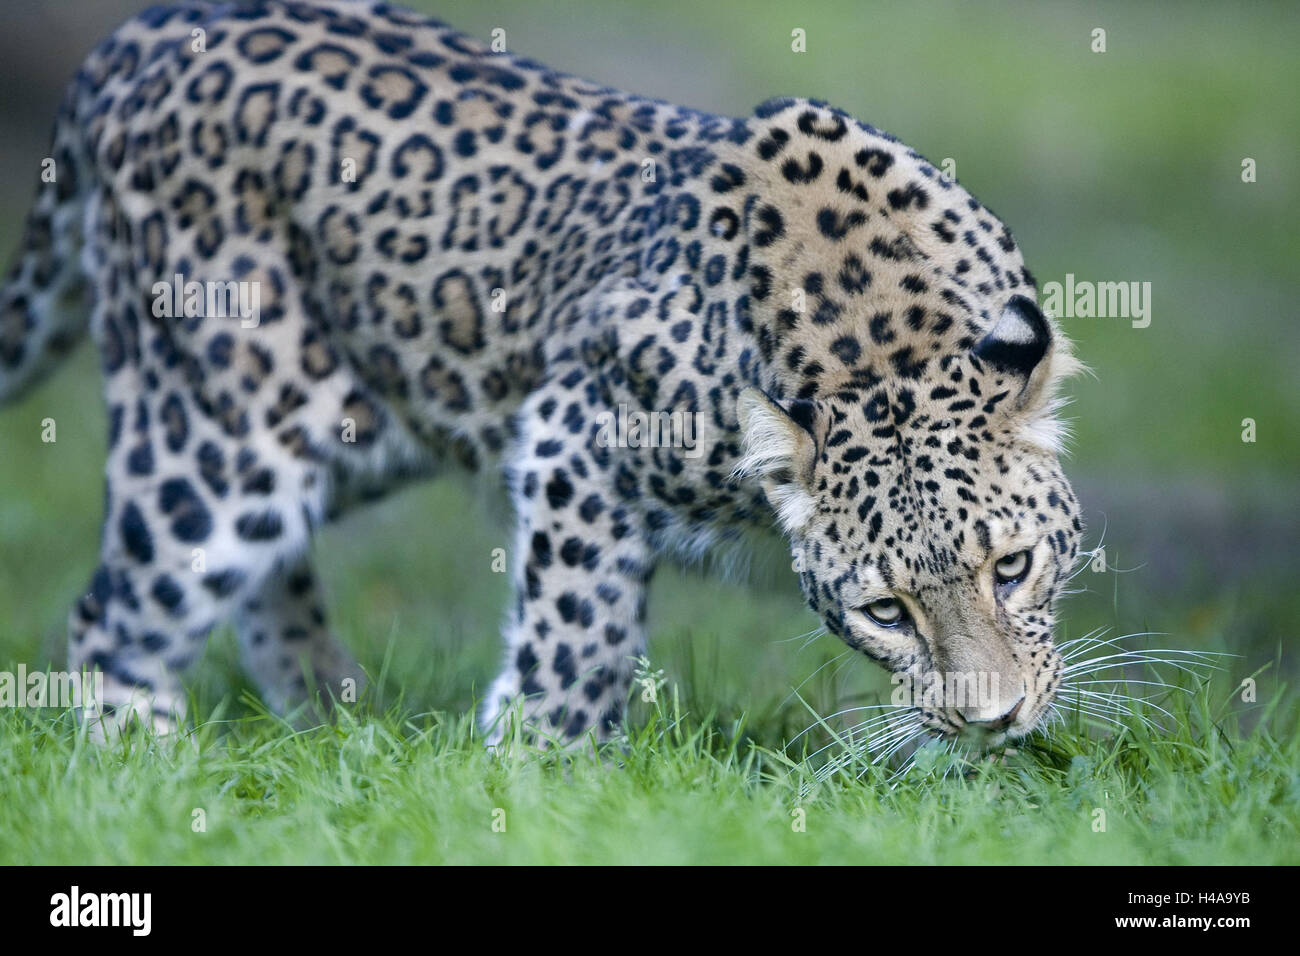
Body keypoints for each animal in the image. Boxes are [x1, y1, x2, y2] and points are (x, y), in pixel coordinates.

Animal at [0, 0, 1084, 749]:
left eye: (1013, 566)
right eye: (884, 611)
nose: (992, 719)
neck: (881, 334)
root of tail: (140, 34)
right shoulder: (575, 436)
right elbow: (575, 630)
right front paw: (543, 771)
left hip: (353, 428)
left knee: (265, 584)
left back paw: (335, 727)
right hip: (221, 434)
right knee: (116, 615)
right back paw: (153, 767)